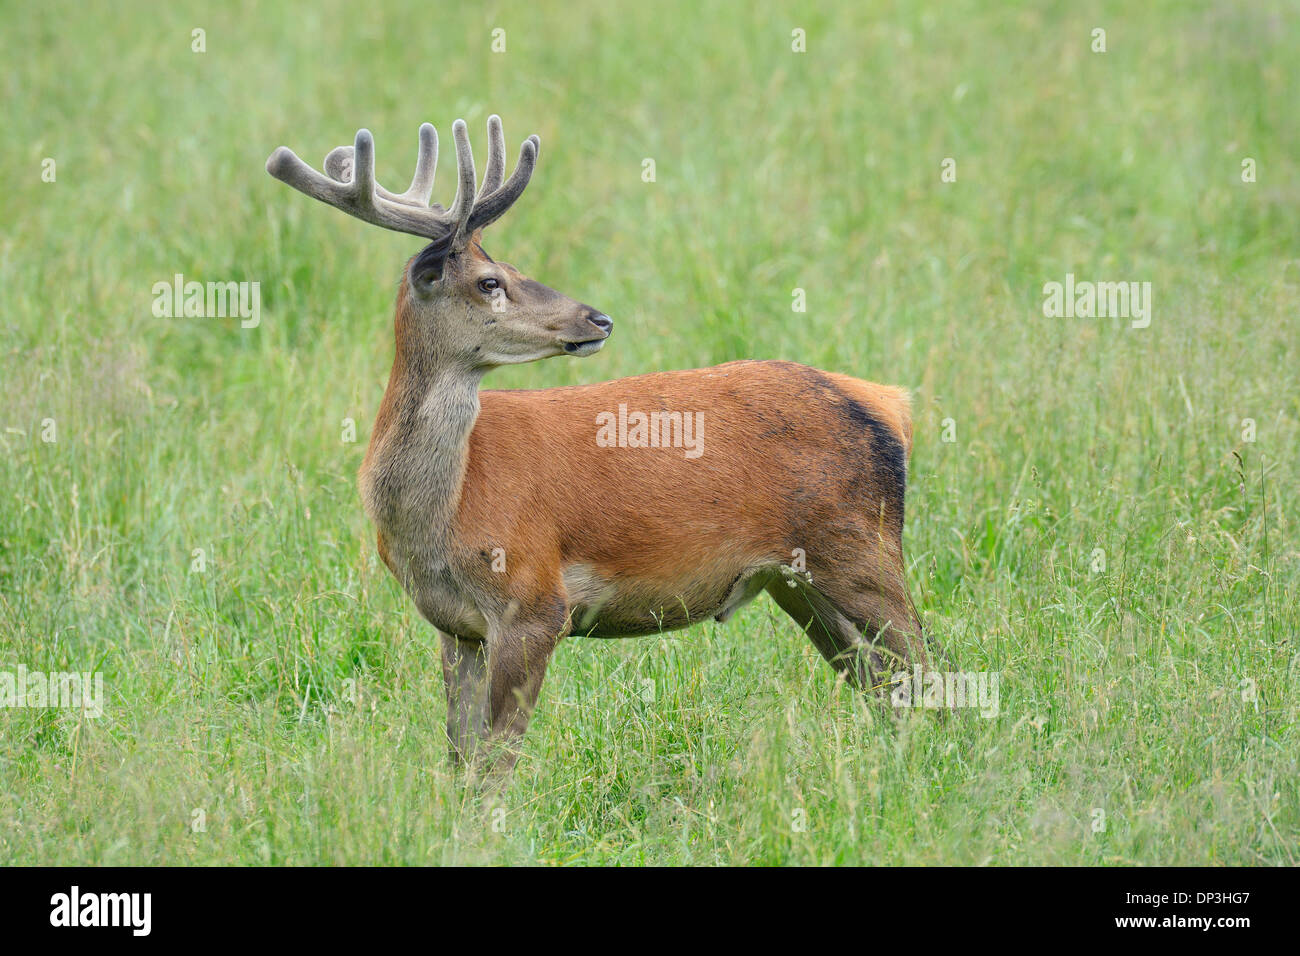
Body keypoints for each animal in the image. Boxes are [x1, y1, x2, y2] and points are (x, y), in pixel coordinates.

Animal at [266, 116, 933, 774]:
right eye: (490, 281)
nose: (598, 319)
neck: (443, 515)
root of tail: (888, 402)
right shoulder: (455, 626)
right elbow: (460, 757)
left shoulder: (534, 599)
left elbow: (495, 762)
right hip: (796, 579)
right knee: (882, 684)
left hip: (862, 544)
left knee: (925, 666)